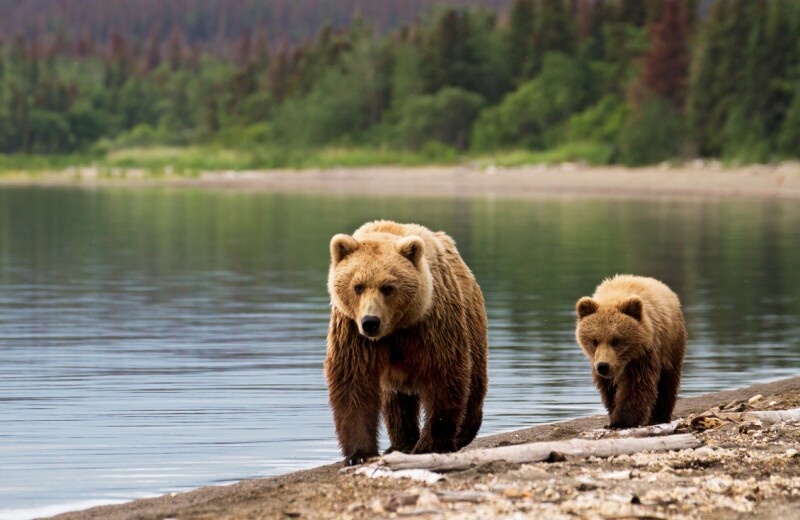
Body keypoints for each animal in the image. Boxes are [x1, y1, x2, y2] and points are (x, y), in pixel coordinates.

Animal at [325, 220, 488, 466]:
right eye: (358, 286)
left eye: (388, 287)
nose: (370, 322)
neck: (394, 328)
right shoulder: (353, 333)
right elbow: (353, 383)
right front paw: (359, 454)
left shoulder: (430, 325)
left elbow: (444, 374)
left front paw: (431, 444)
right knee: (395, 402)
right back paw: (400, 443)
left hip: (472, 323)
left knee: (474, 381)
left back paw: (463, 432)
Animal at [575, 274, 686, 429]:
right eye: (594, 341)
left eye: (616, 340)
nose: (603, 366)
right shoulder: (599, 362)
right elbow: (609, 389)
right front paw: (613, 413)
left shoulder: (643, 355)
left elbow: (636, 385)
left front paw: (622, 420)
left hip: (671, 346)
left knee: (667, 382)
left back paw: (659, 416)